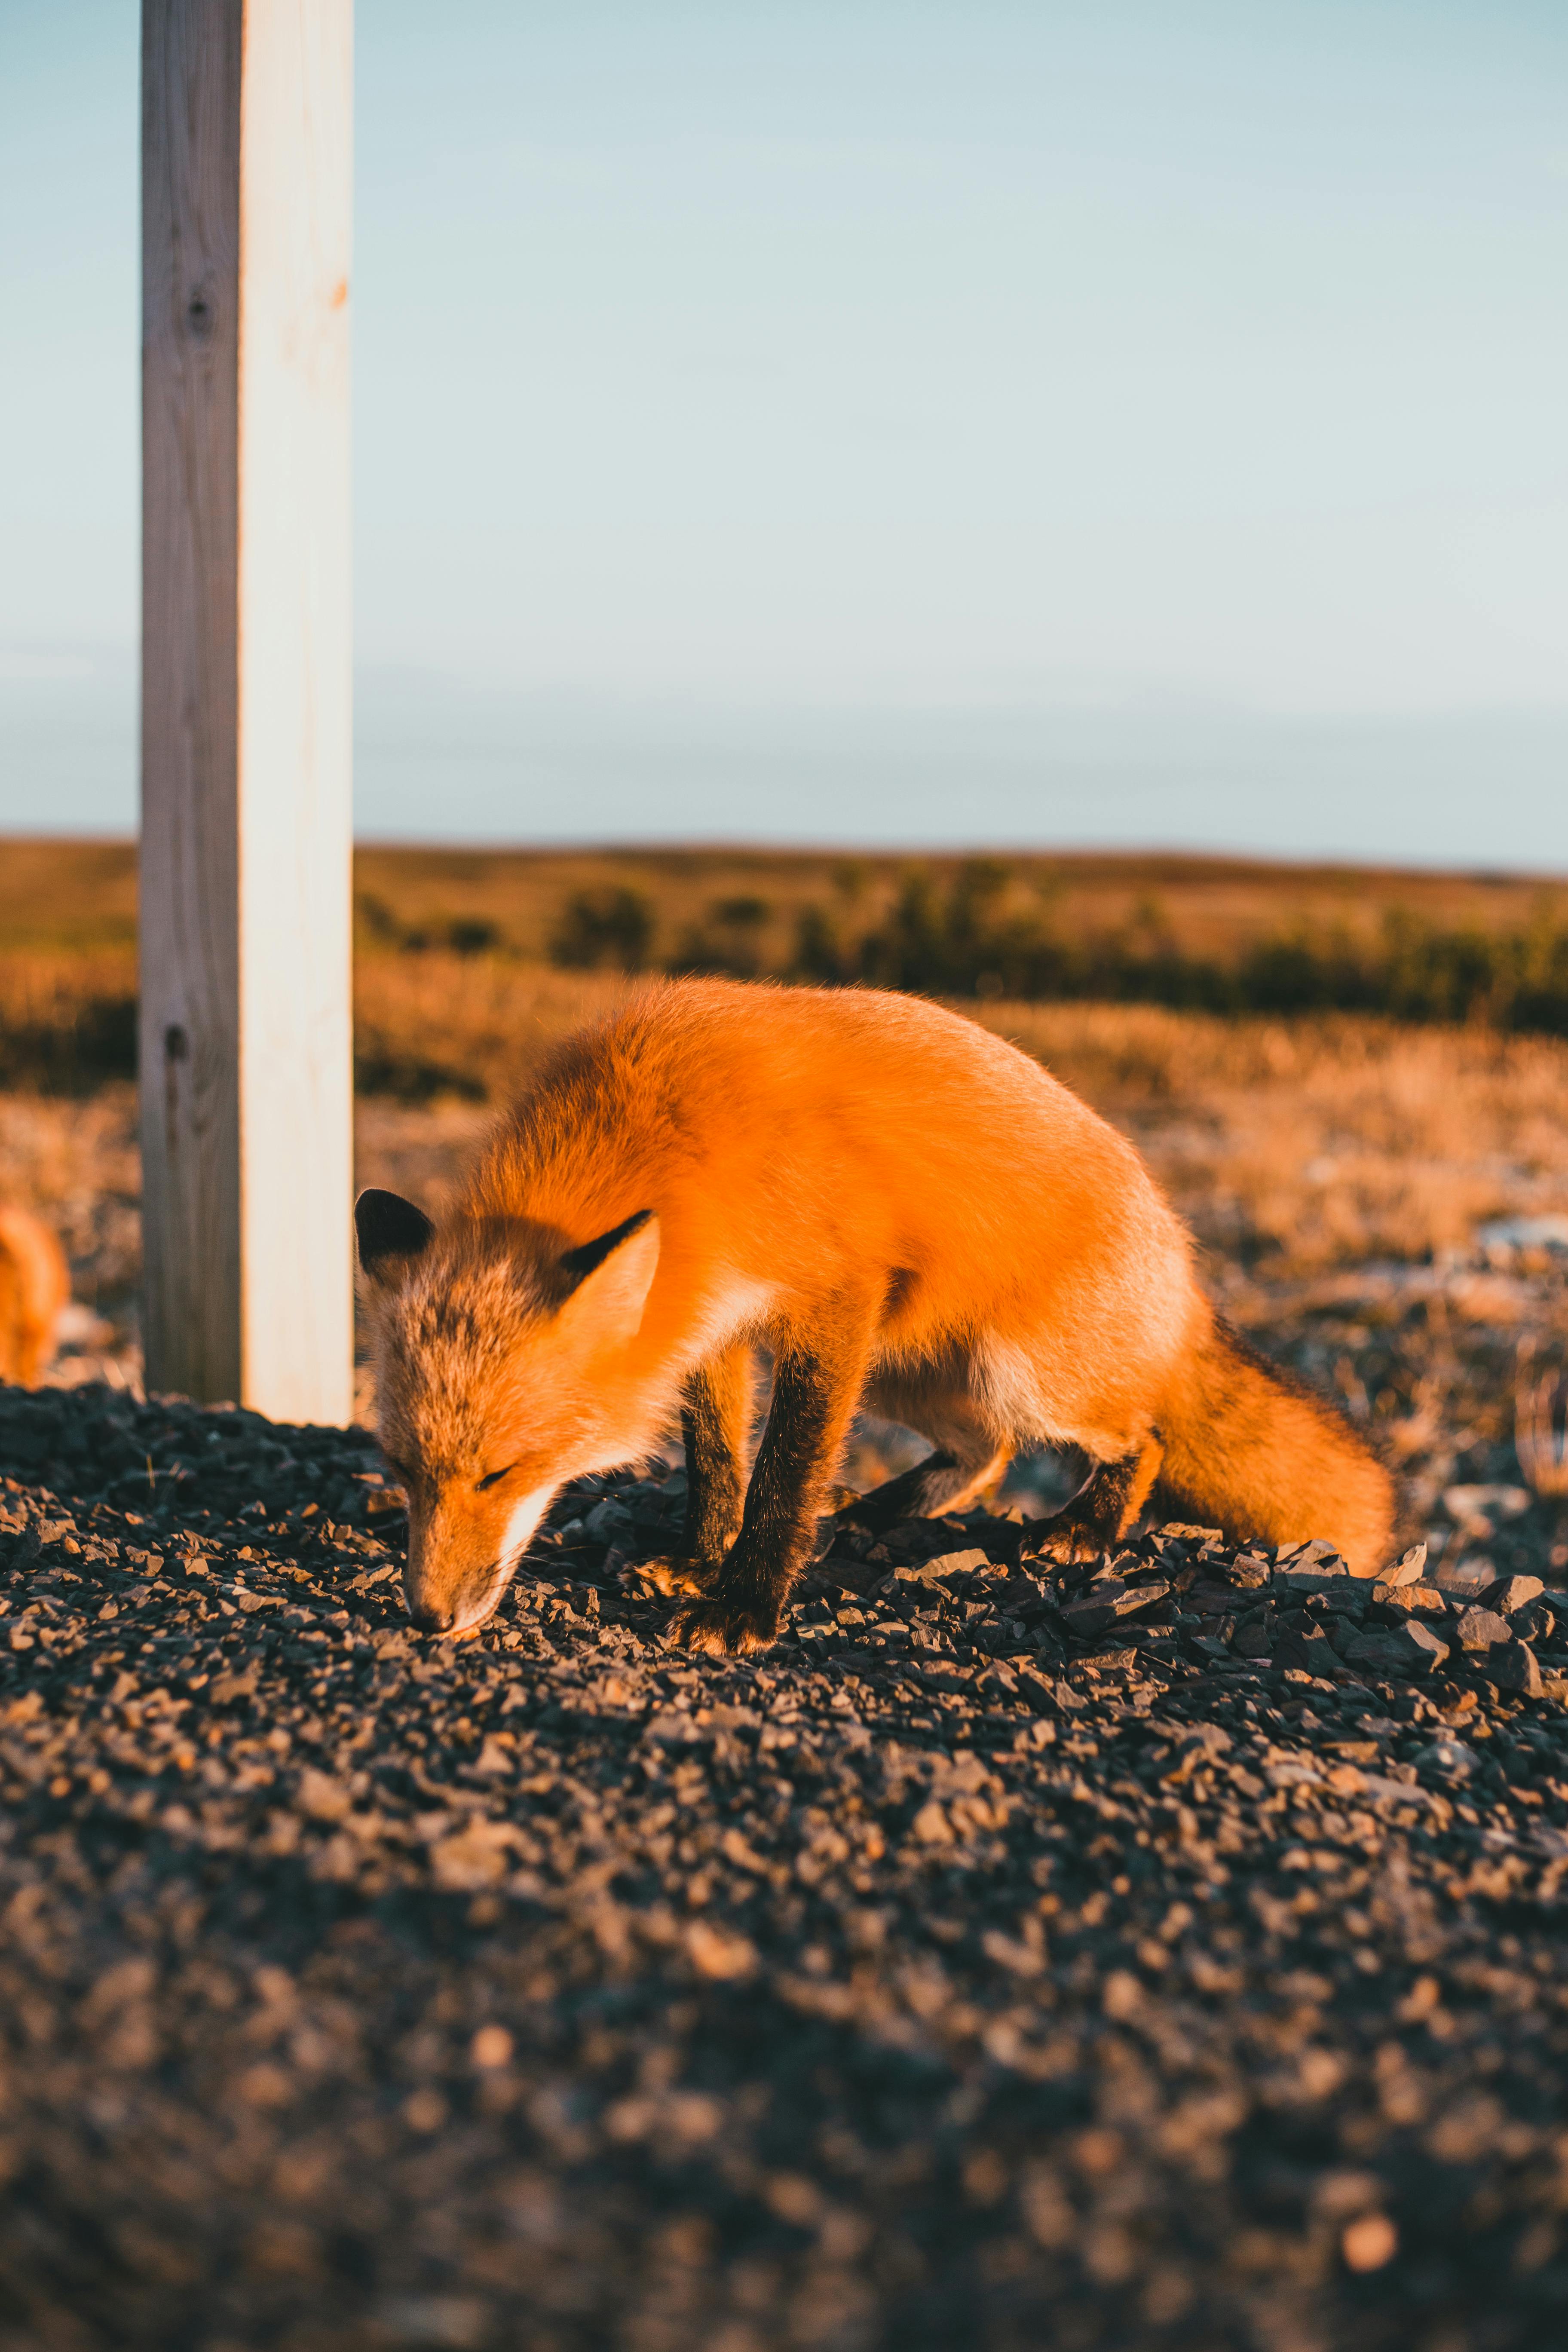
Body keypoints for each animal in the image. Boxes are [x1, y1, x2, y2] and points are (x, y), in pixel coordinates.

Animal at [355, 977, 1395, 1653]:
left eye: (502, 1473)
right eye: (403, 1470)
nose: (427, 1619)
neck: (676, 1139)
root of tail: (1181, 1268)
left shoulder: (833, 1296)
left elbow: (785, 1469)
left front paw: (744, 1605)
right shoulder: (711, 1319)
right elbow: (719, 1459)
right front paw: (701, 1559)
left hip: (1019, 1370)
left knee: (1142, 1437)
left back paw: (1086, 1527)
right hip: (909, 1372)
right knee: (986, 1454)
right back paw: (874, 1513)